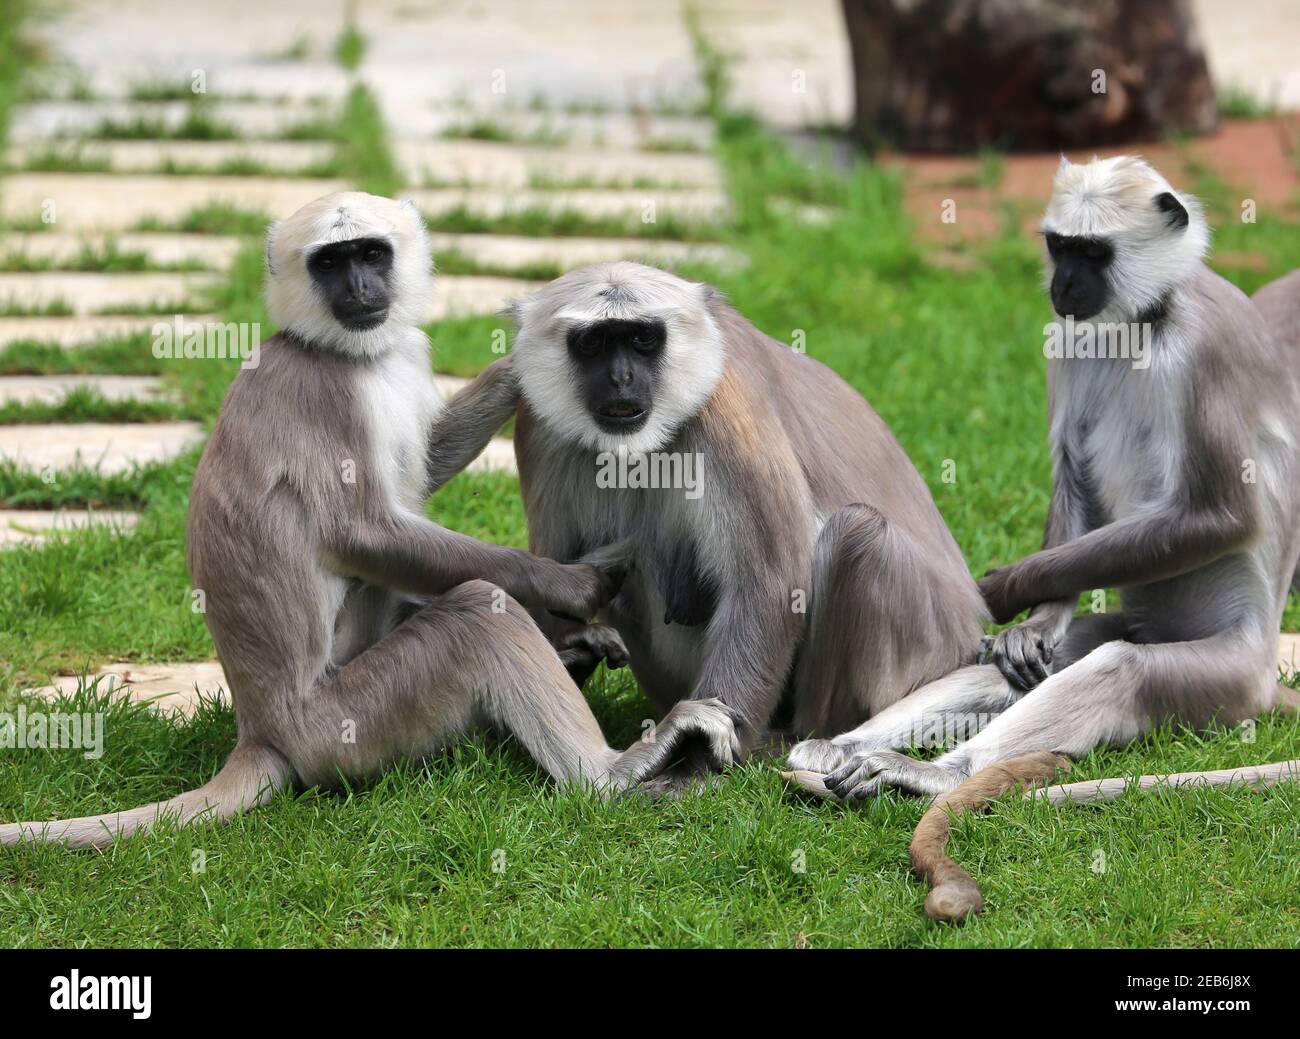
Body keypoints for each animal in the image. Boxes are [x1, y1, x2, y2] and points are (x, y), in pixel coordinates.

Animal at [0, 193, 739, 849]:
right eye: (331, 261)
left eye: (372, 253)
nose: (359, 286)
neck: (345, 351)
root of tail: (261, 728)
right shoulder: (325, 393)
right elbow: (362, 533)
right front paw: (574, 585)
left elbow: (425, 465)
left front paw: (520, 367)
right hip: (344, 721)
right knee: (476, 611)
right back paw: (610, 771)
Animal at [508, 261, 989, 794]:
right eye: (592, 342)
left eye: (641, 338)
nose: (620, 379)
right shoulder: (537, 421)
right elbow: (559, 577)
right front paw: (574, 654)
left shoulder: (726, 406)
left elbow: (767, 585)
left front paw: (692, 762)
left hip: (924, 641)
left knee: (857, 532)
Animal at [785, 156, 1300, 803]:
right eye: (1060, 247)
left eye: (1094, 253)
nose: (1065, 286)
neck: (1147, 320)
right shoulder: (1072, 339)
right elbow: (1075, 478)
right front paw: (1031, 624)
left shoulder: (1203, 343)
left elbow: (1222, 517)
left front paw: (1003, 589)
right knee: (1025, 667)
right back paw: (844, 745)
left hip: (1227, 679)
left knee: (1120, 667)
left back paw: (937, 773)